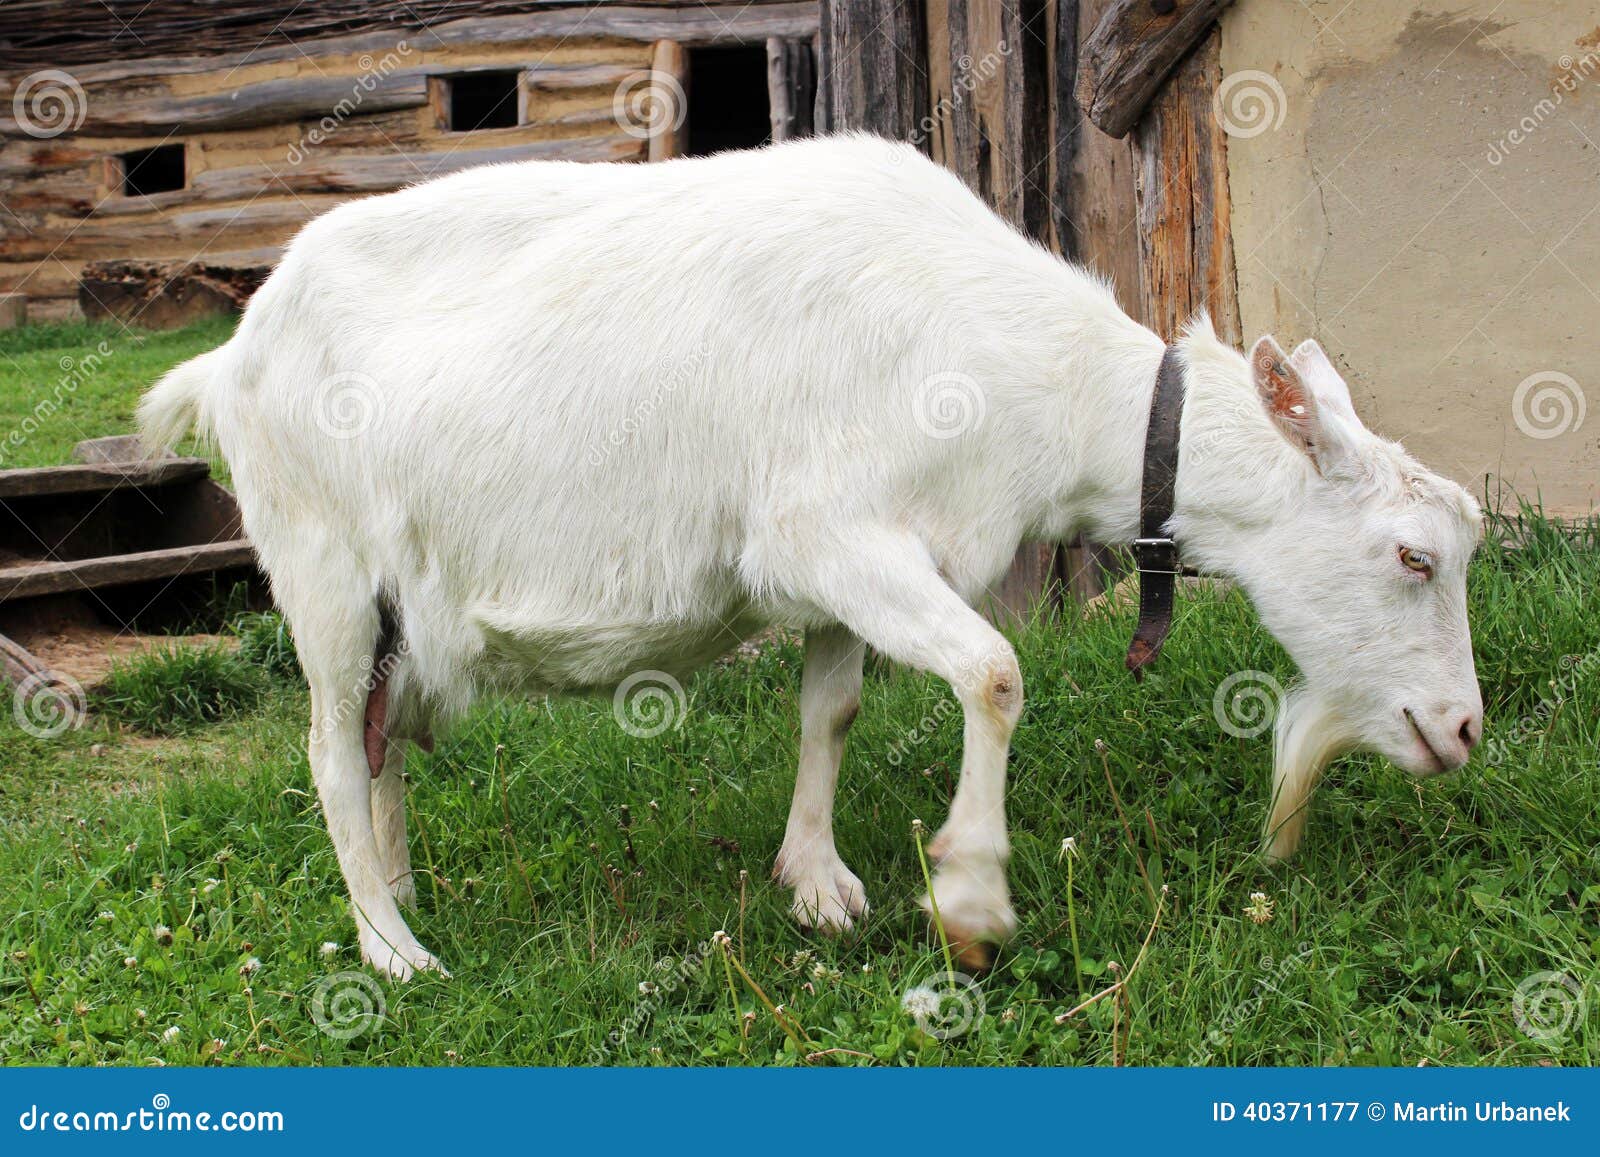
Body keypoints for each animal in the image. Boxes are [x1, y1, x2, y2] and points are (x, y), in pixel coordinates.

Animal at [140, 134, 1483, 979]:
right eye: (1413, 555)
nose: (1463, 730)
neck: (1020, 369)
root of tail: (232, 351)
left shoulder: (855, 569)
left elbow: (829, 709)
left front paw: (817, 879)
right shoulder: (824, 530)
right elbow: (995, 670)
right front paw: (971, 899)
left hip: (396, 611)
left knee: (378, 743)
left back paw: (401, 889)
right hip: (319, 569)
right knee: (327, 752)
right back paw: (391, 949)